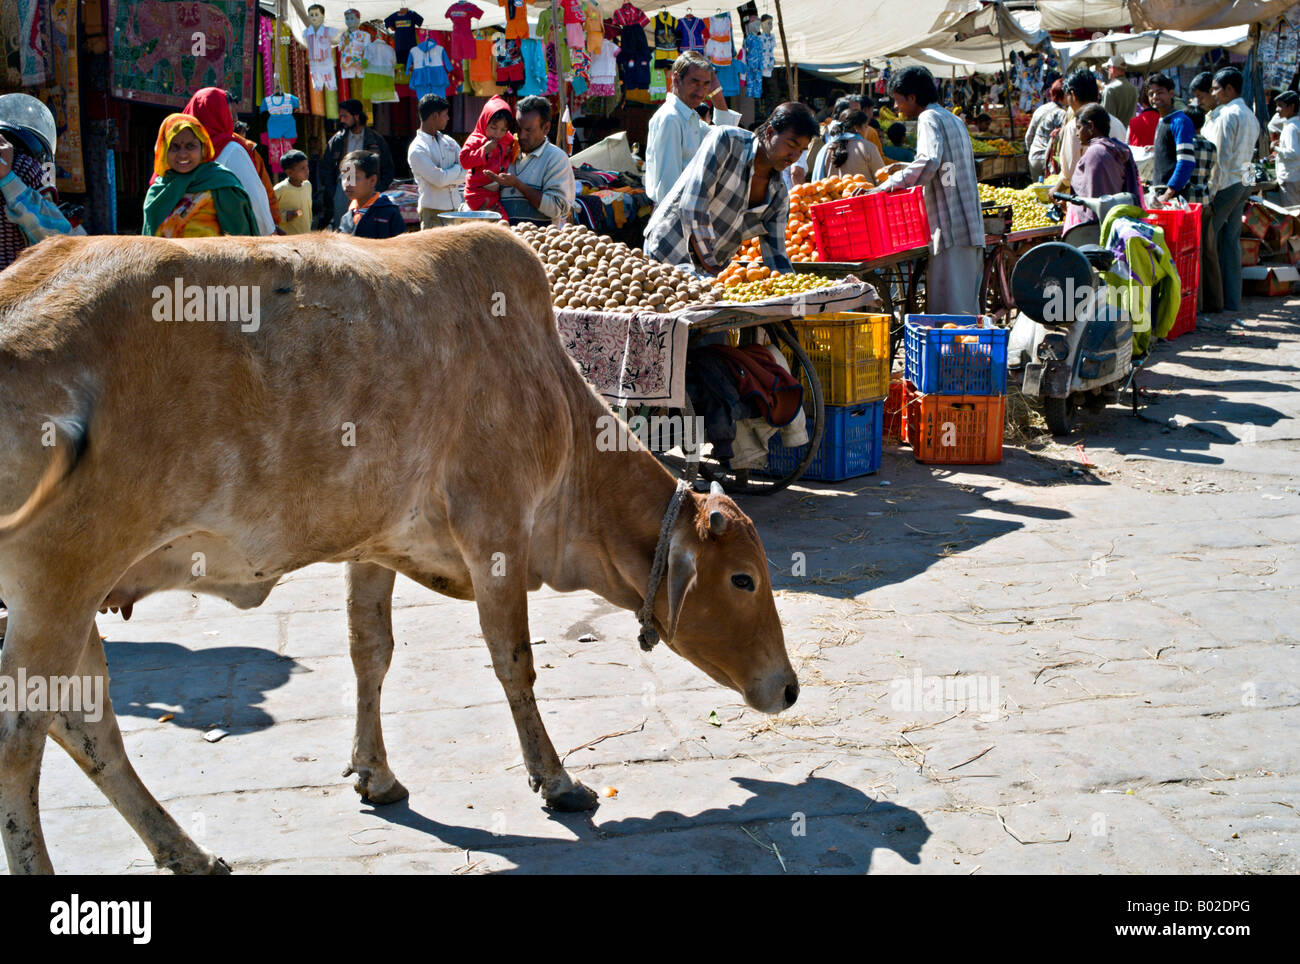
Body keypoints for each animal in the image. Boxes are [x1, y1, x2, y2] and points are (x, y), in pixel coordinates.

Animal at [0, 226, 797, 874]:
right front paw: (557, 781)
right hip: (60, 586)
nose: (788, 689)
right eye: (744, 580)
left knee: (86, 722)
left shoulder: (373, 545)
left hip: (68, 601)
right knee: (23, 732)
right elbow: (514, 663)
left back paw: (185, 851)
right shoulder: (496, 535)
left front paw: (374, 774)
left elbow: (369, 651)